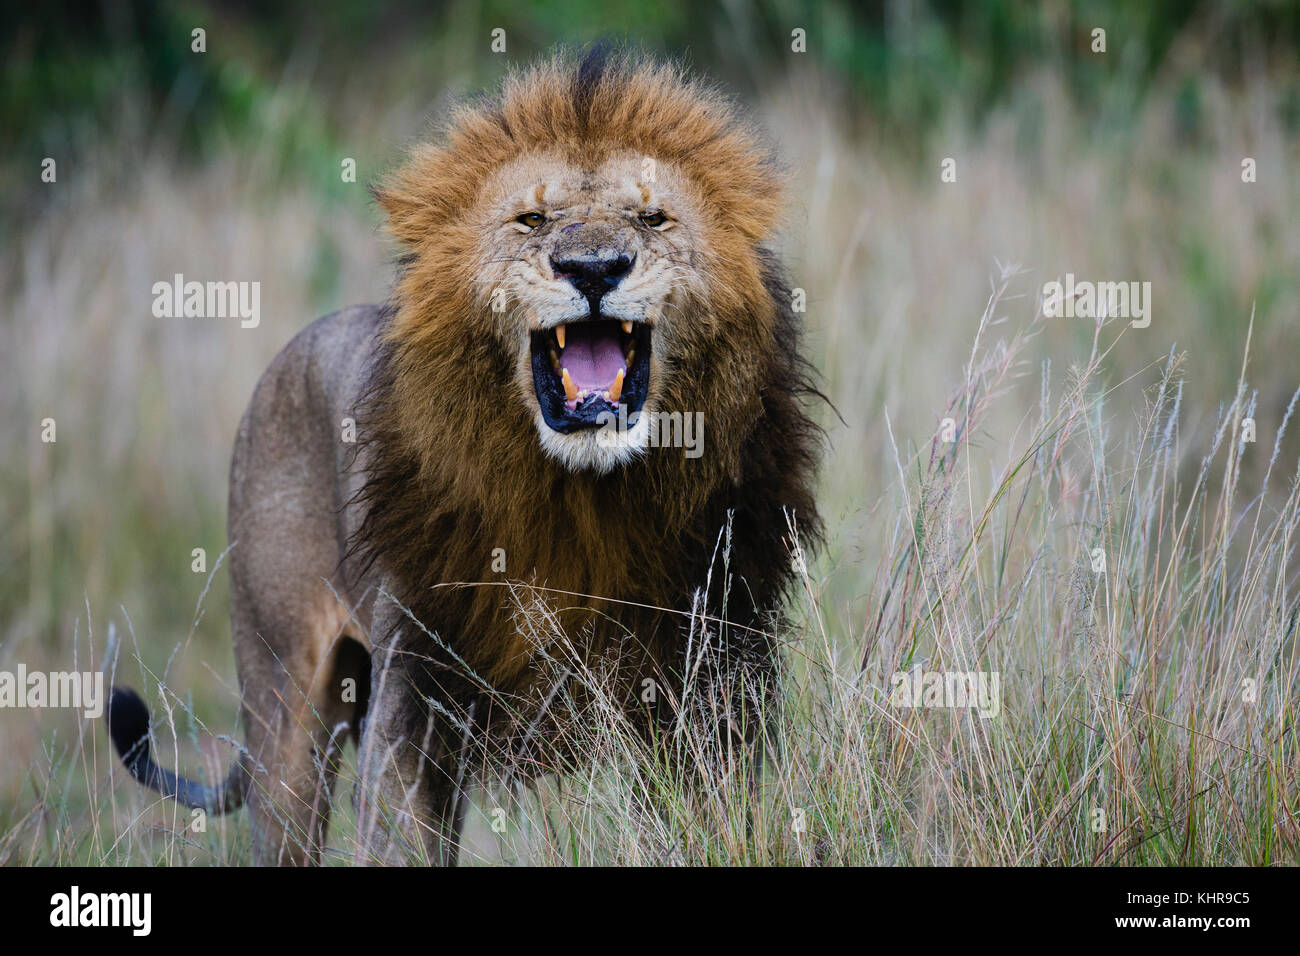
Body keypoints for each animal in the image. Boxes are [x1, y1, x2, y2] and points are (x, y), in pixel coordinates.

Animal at [107, 47, 823, 865]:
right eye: (531, 219)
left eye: (652, 217)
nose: (594, 268)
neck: (585, 499)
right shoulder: (414, 704)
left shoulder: (709, 691)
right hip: (284, 702)